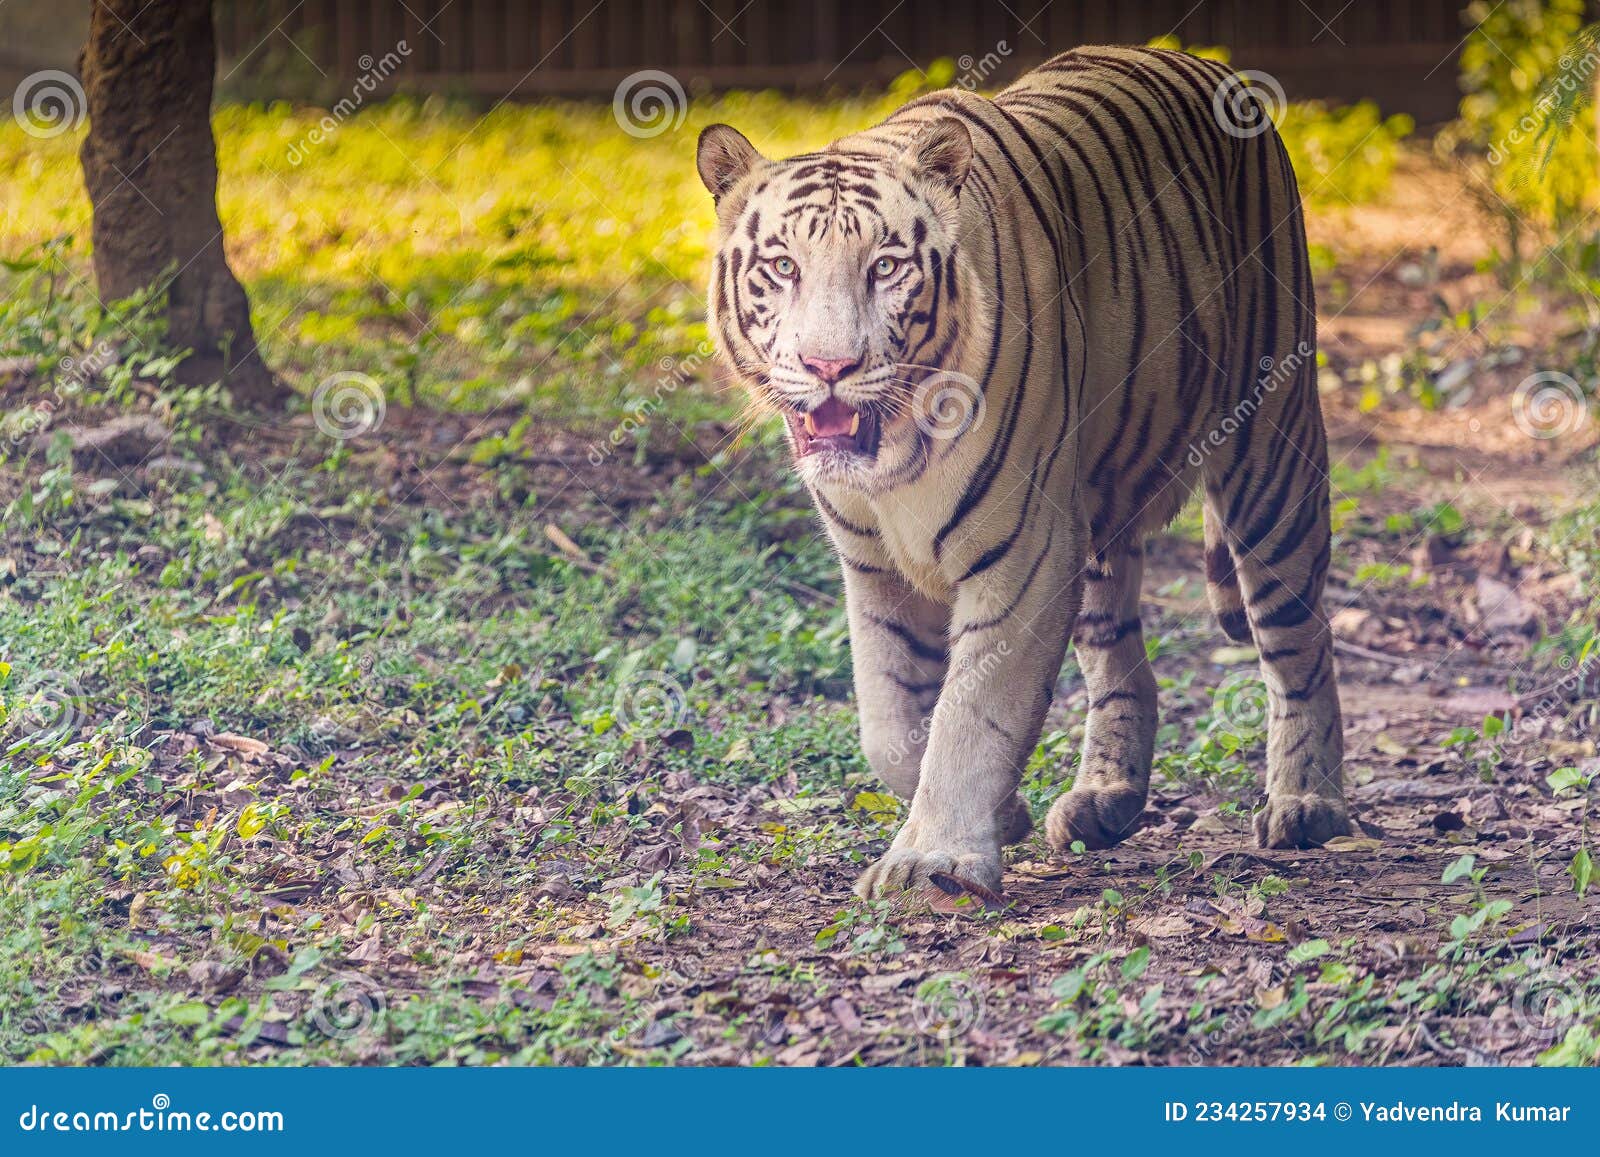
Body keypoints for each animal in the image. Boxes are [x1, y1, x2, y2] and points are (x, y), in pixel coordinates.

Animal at [695, 45, 1353, 904]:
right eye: (781, 266)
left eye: (885, 267)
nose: (828, 366)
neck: (895, 453)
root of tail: (1210, 68)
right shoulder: (876, 572)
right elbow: (892, 727)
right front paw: (1000, 813)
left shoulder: (1023, 555)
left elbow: (972, 712)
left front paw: (934, 860)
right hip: (1097, 510)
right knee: (1121, 661)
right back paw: (1106, 800)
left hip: (1269, 451)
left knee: (1298, 638)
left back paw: (1308, 804)